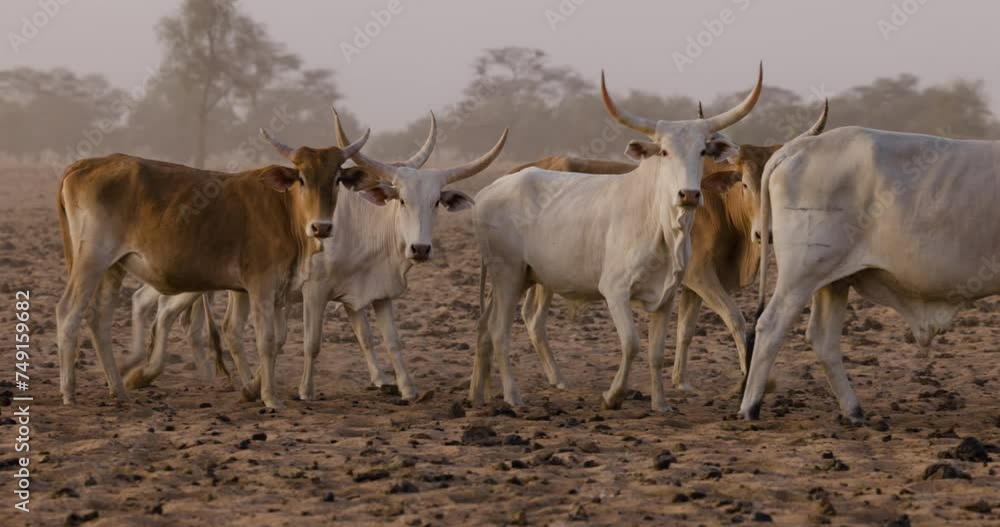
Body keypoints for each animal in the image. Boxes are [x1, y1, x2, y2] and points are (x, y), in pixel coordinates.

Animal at [56, 122, 372, 408]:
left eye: (336, 179)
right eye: (302, 179)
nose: (321, 227)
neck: (284, 211)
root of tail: (84, 164)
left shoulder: (274, 292)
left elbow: (277, 339)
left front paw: (252, 389)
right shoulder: (260, 286)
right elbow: (267, 340)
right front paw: (270, 398)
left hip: (114, 267)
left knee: (99, 319)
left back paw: (118, 389)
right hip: (91, 261)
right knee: (68, 312)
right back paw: (69, 392)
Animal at [471, 65, 763, 412]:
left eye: (703, 150)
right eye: (664, 151)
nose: (689, 194)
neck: (660, 225)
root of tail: (491, 189)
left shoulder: (668, 295)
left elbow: (656, 352)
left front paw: (660, 404)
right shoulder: (616, 290)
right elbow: (632, 343)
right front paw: (613, 396)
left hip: (522, 278)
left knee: (485, 326)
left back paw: (479, 392)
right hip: (509, 275)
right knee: (500, 331)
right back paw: (513, 395)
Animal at [514, 101, 829, 393]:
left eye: (774, 186)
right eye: (745, 184)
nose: (766, 234)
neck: (717, 204)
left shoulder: (691, 285)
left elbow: (686, 330)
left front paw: (681, 381)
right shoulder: (700, 275)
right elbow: (735, 318)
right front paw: (745, 378)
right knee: (534, 319)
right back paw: (558, 379)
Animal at [740, 124, 1000, 422]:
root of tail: (798, 147)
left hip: (833, 281)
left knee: (822, 339)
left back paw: (853, 411)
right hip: (800, 273)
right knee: (771, 325)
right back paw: (750, 408)